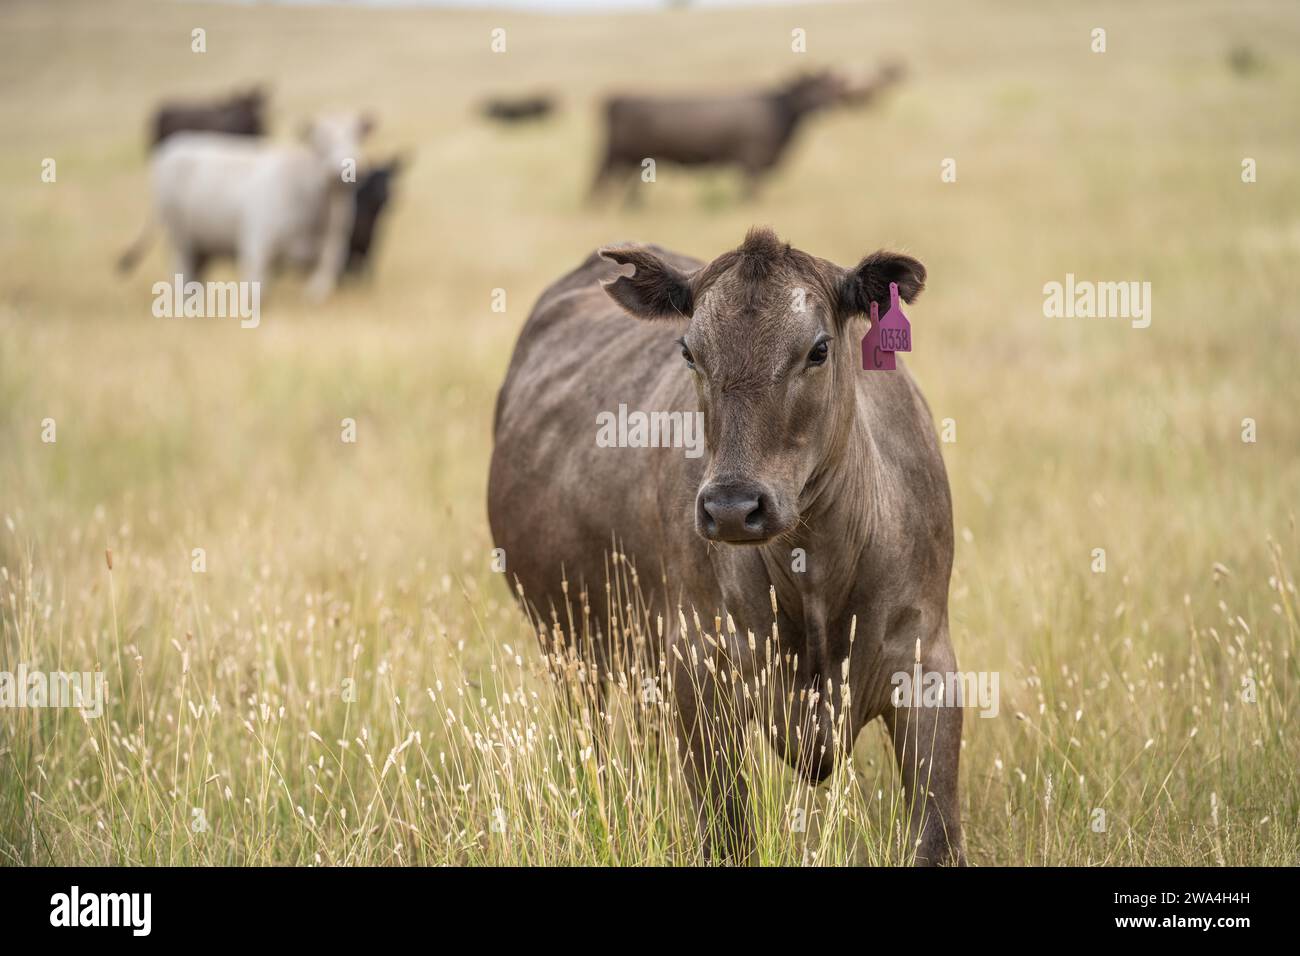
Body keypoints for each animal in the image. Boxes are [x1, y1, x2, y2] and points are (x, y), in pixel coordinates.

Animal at [118, 114, 374, 301]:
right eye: (321, 140)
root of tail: (174, 146)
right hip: (179, 236)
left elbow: (320, 281)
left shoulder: (331, 249)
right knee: (182, 273)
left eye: (358, 136)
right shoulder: (255, 245)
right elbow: (257, 290)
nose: (345, 171)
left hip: (202, 244)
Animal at [487, 228, 965, 866]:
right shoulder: (699, 669)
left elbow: (936, 835)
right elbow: (727, 832)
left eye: (819, 350)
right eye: (690, 352)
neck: (813, 575)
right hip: (569, 645)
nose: (733, 507)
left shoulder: (928, 665)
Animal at [590, 66, 902, 201]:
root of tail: (616, 97)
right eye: (804, 89)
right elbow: (751, 191)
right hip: (617, 155)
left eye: (828, 88)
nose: (823, 106)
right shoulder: (752, 159)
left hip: (632, 159)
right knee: (601, 181)